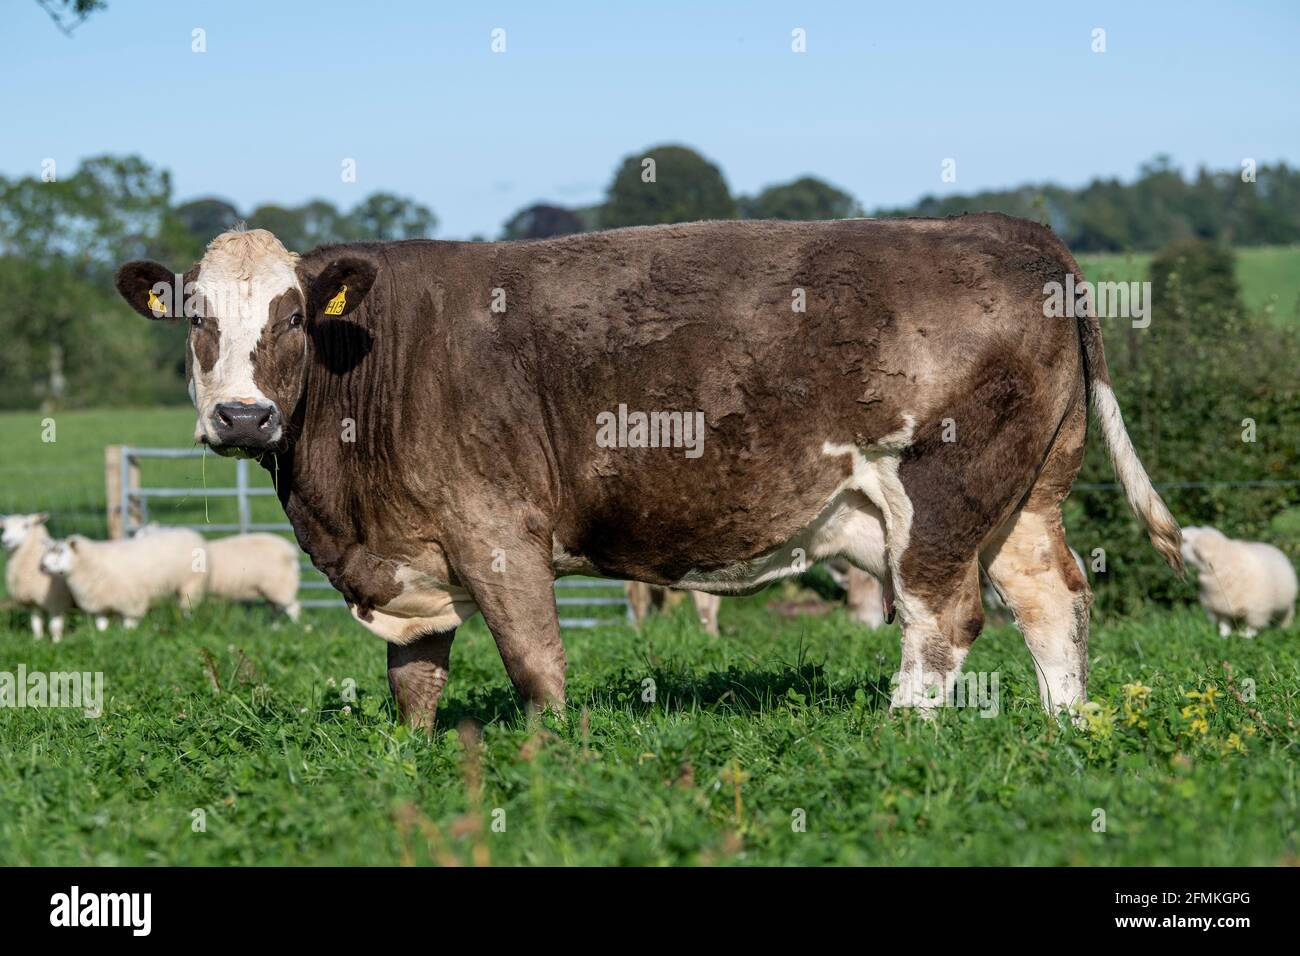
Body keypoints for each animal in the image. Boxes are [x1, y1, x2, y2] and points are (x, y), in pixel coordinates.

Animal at [114, 215, 1183, 728]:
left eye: (294, 315)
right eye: (195, 316)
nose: (242, 416)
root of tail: (1007, 228)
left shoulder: (496, 528)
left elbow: (535, 662)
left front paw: (553, 762)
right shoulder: (406, 562)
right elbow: (414, 678)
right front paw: (406, 764)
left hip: (943, 492)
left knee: (942, 616)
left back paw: (902, 734)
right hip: (1029, 494)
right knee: (1052, 597)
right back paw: (1065, 733)